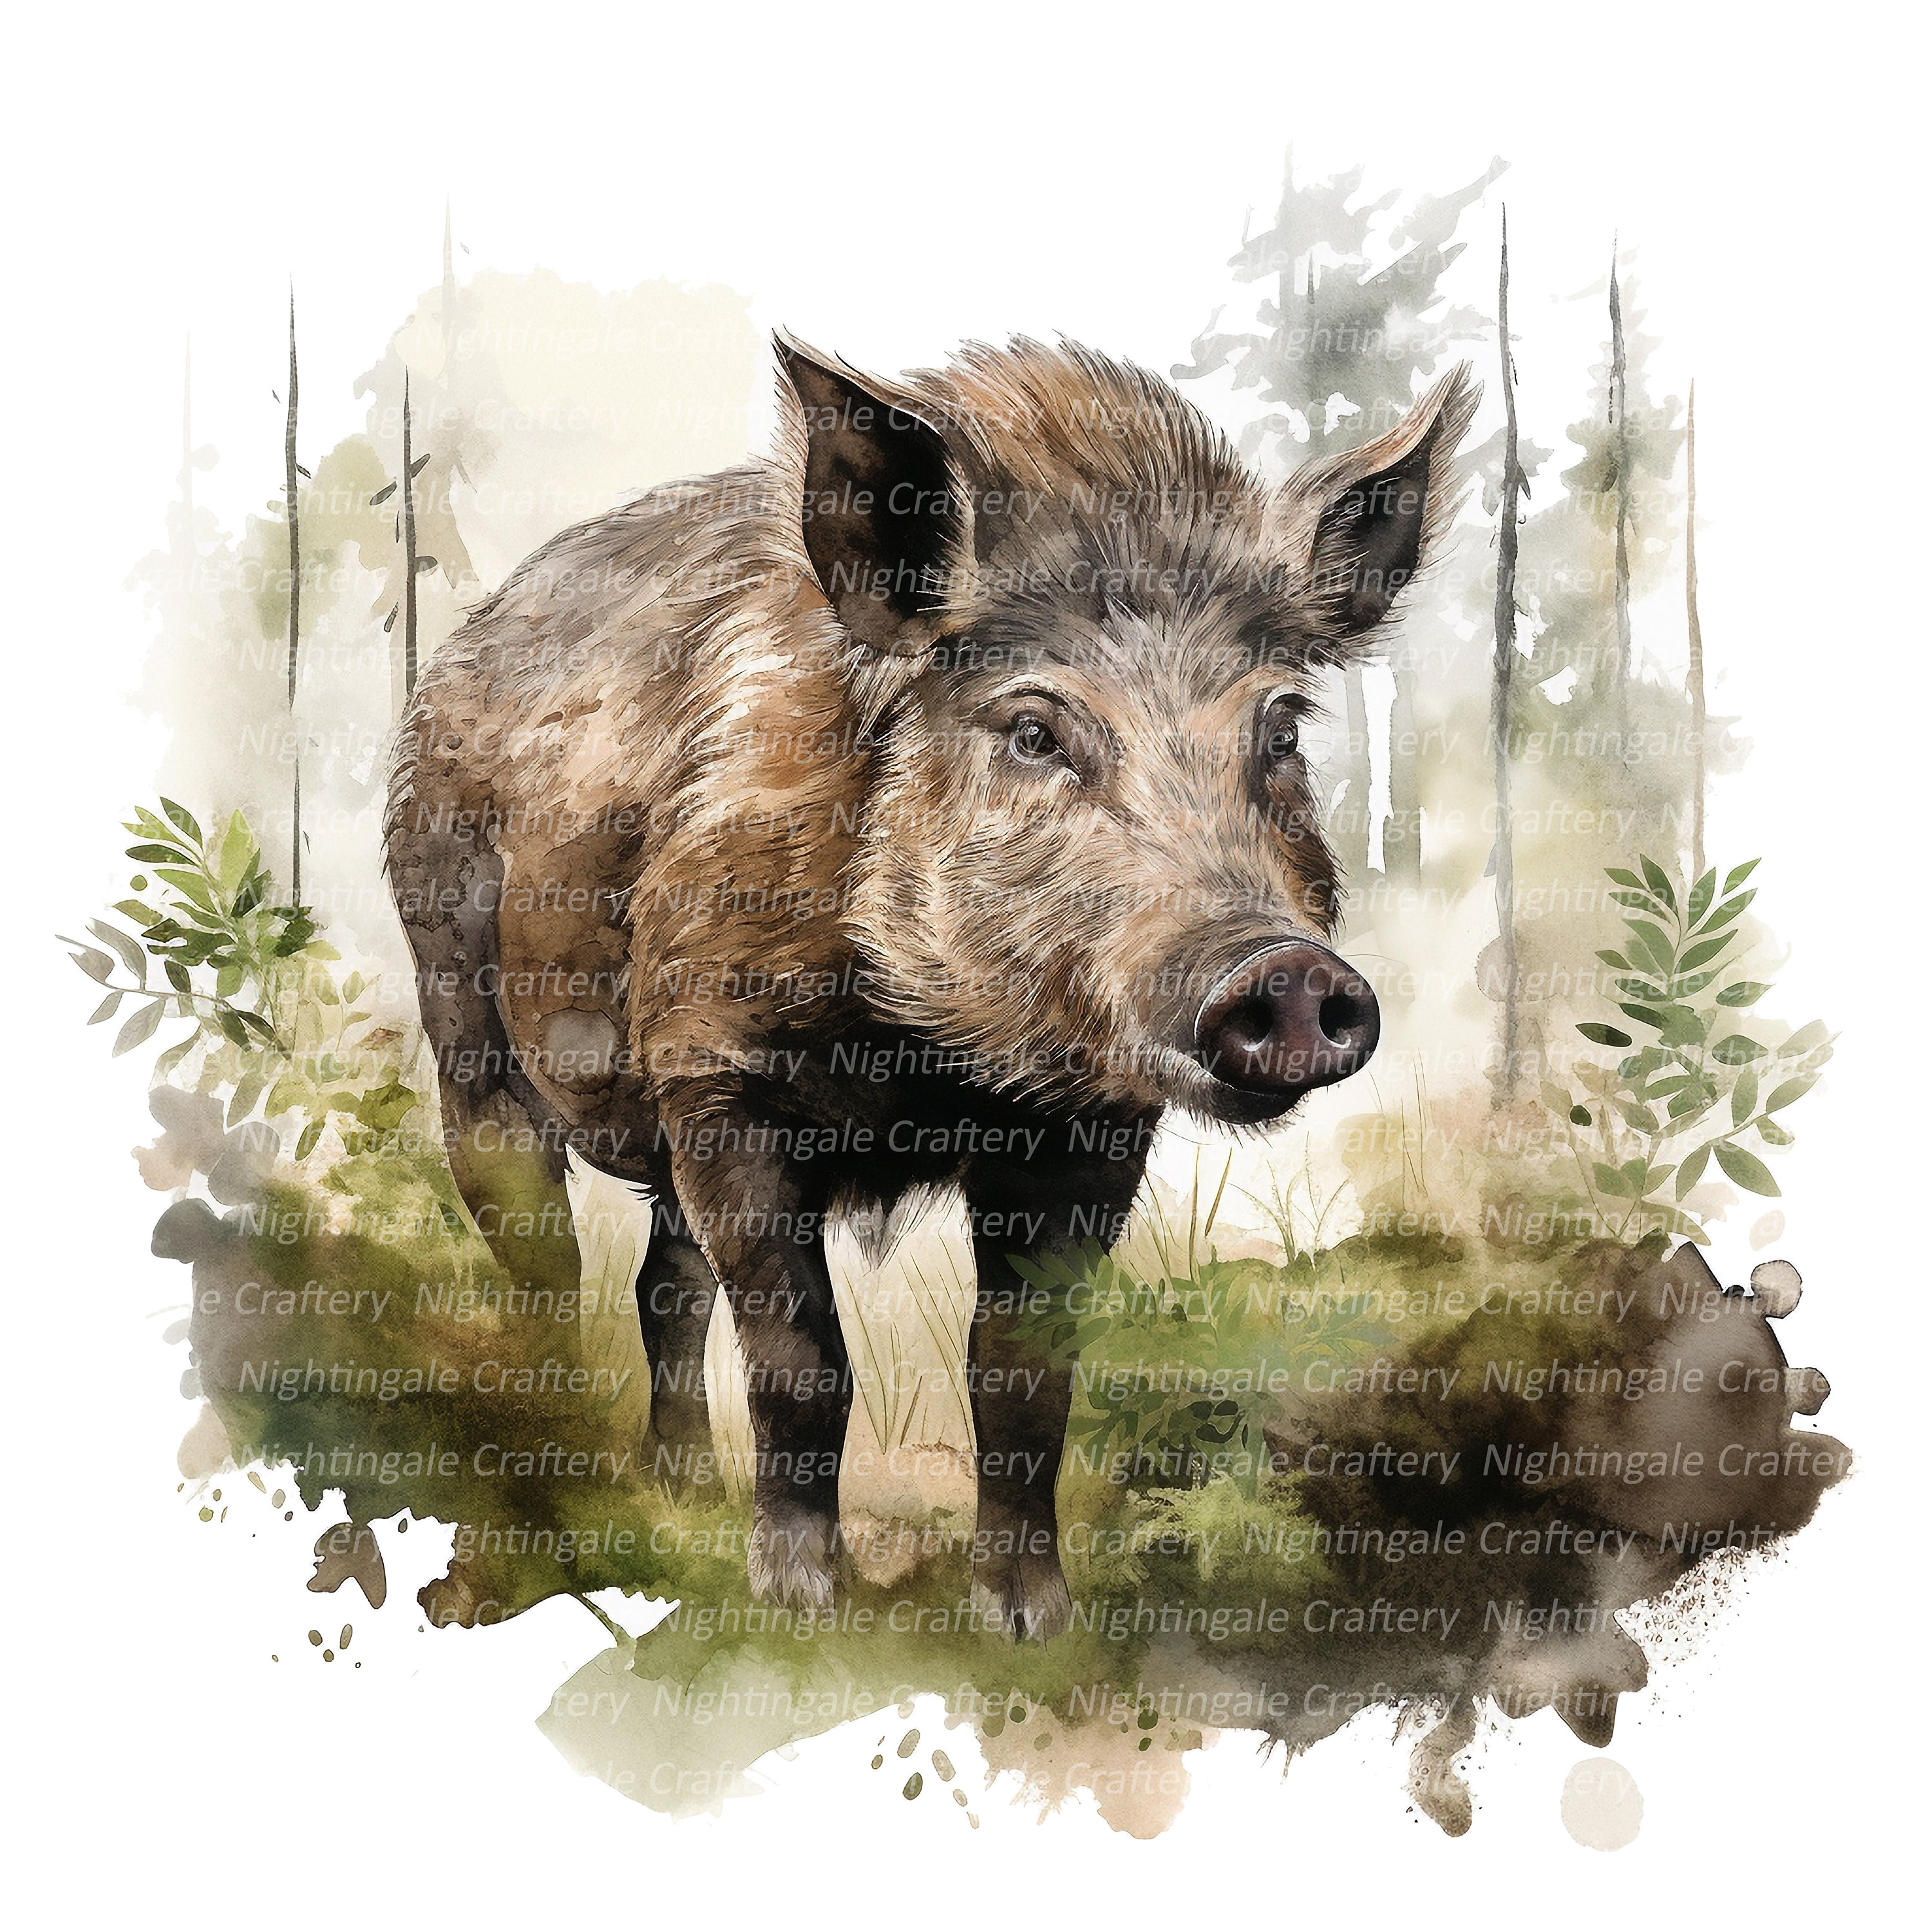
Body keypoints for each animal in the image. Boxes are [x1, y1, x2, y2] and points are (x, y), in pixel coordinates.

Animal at [385, 332, 1476, 1637]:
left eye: (1282, 730)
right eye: (1034, 730)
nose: (1291, 971)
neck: (924, 1059)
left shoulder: (1088, 1132)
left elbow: (1021, 1373)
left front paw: (1030, 1626)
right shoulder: (719, 1073)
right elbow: (803, 1361)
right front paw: (803, 1610)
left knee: (664, 1284)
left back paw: (679, 1492)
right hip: (459, 1007)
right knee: (542, 1258)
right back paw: (574, 1483)